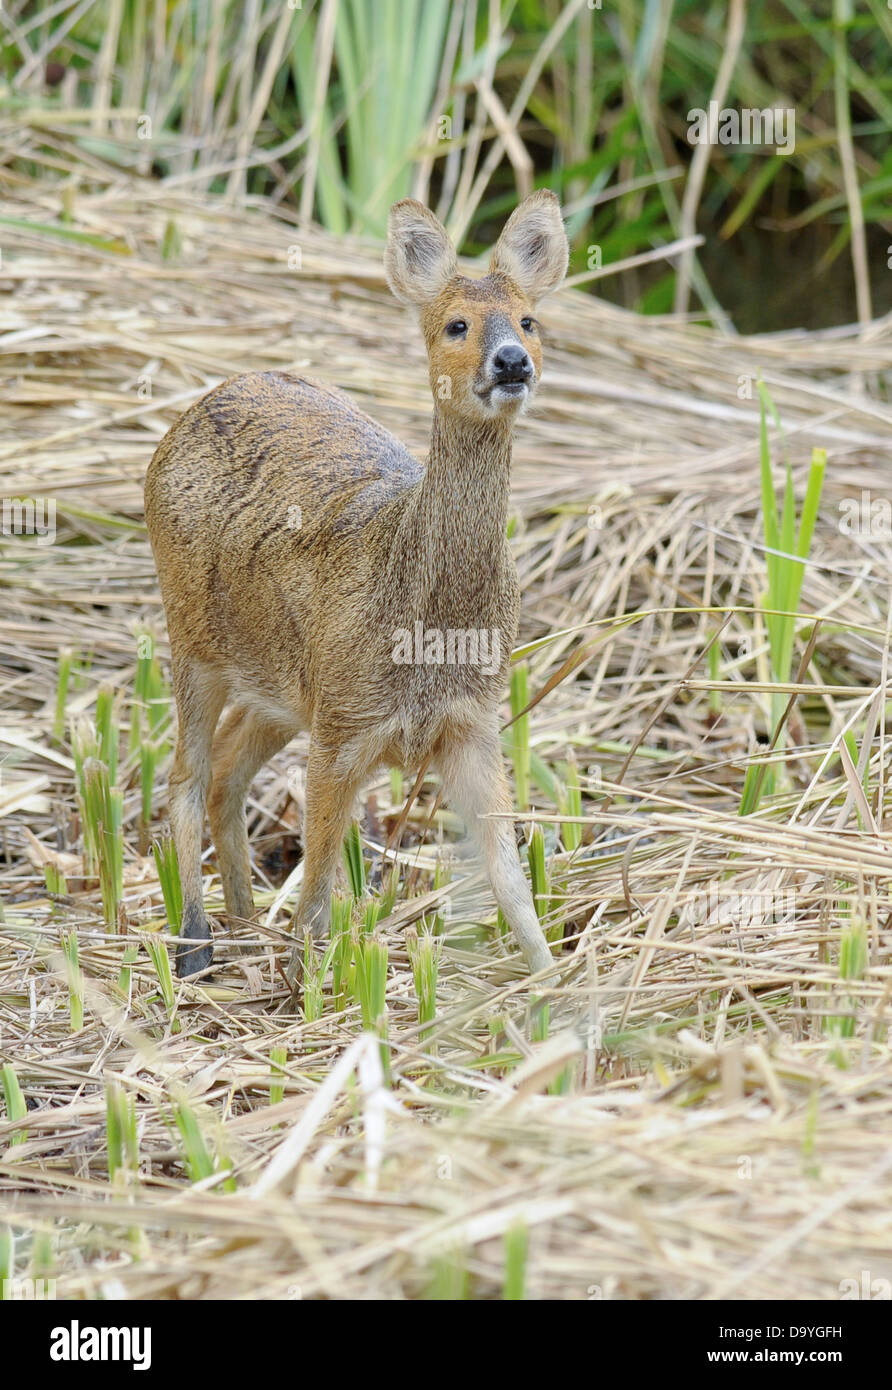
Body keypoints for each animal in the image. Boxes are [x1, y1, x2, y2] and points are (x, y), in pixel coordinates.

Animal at [144, 189, 569, 990]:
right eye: (455, 324)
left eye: (529, 318)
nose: (513, 360)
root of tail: (195, 408)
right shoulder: (345, 728)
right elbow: (317, 885)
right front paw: (304, 986)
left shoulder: (469, 720)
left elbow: (507, 872)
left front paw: (554, 980)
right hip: (191, 635)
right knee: (186, 773)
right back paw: (194, 944)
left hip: (283, 683)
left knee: (227, 773)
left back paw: (242, 916)